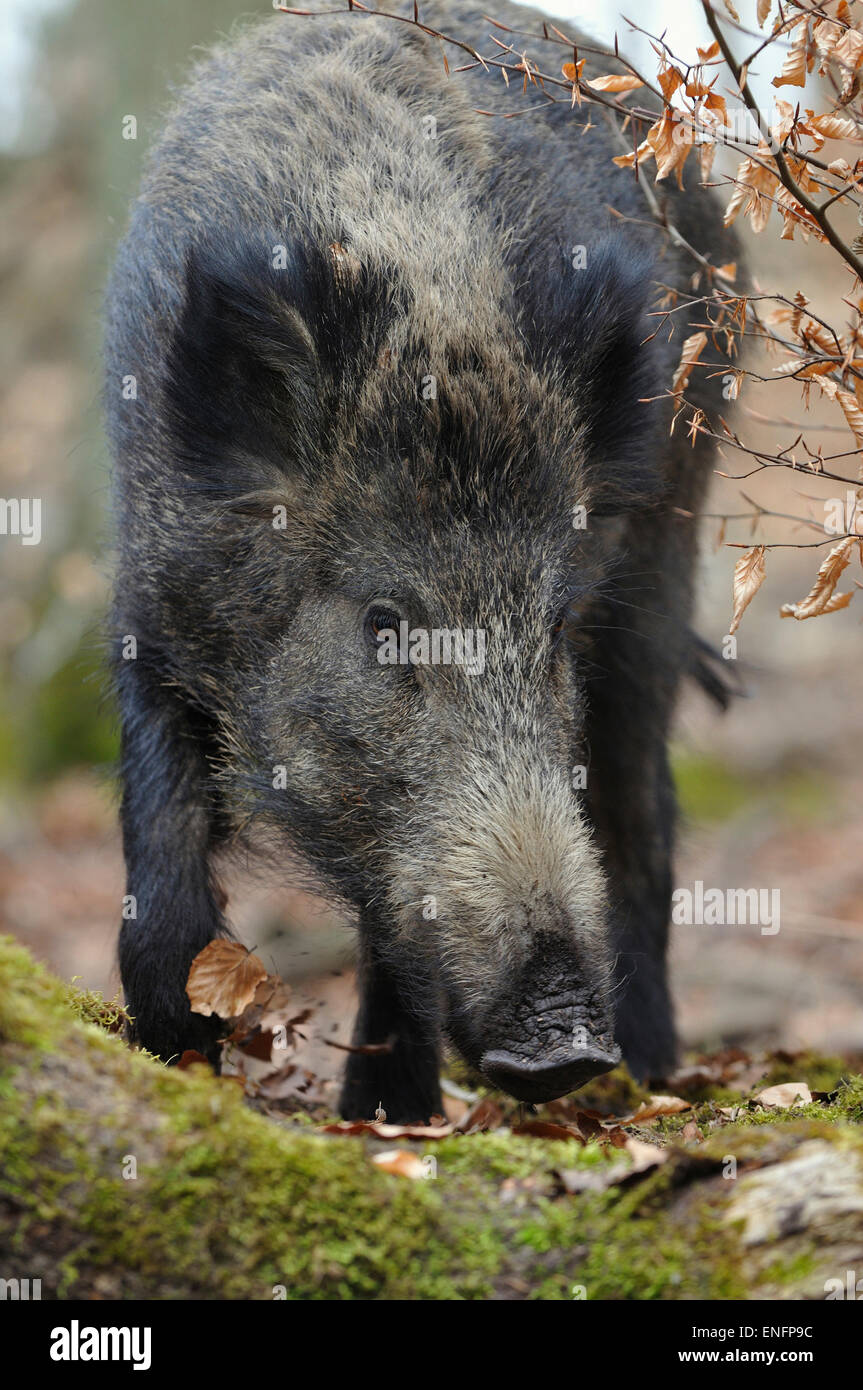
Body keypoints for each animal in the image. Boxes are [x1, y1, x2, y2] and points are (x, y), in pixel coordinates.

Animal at [104, 1, 737, 1121]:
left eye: (552, 625)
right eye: (383, 623)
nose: (561, 1044)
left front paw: (381, 1117)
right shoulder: (150, 594)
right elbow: (161, 831)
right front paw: (177, 1038)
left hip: (667, 550)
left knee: (640, 812)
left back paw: (651, 1072)